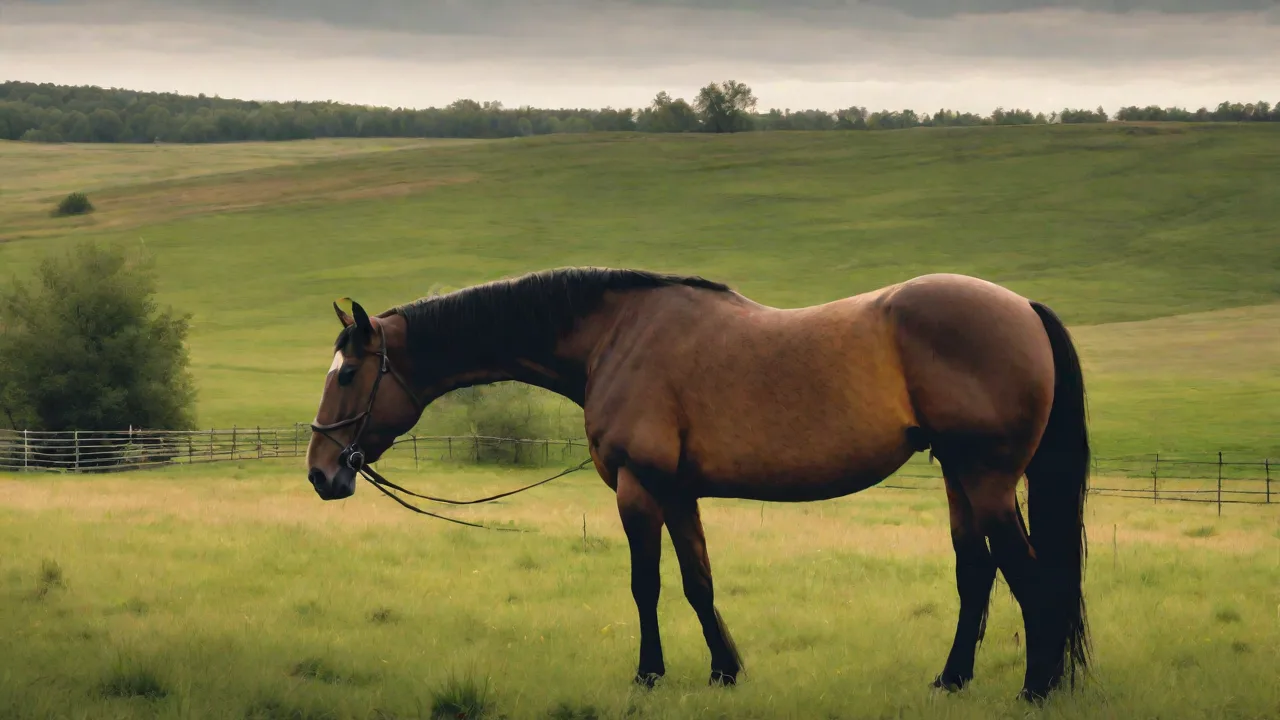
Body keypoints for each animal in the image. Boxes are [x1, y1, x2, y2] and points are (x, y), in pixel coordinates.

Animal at [305, 268, 1091, 703]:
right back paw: (952, 679)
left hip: (988, 479)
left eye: (349, 373)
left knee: (1030, 578)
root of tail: (1021, 307)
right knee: (977, 574)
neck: (616, 337)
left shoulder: (638, 488)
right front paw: (724, 672)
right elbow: (698, 583)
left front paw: (649, 675)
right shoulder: (679, 494)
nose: (321, 472)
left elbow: (646, 585)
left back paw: (1035, 688)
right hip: (961, 477)